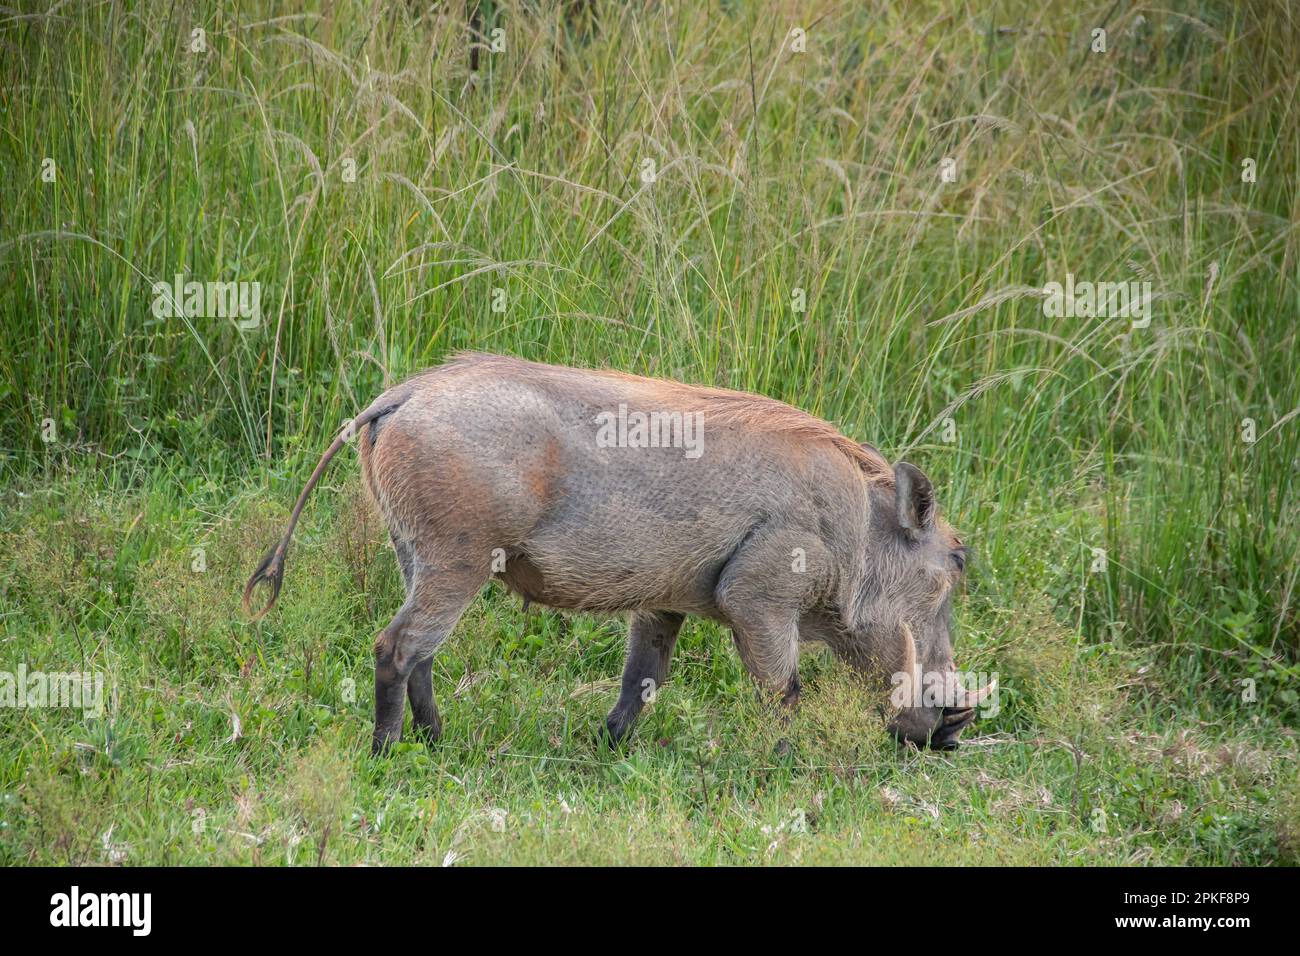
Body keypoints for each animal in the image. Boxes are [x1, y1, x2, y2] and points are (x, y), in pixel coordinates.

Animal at [244, 352, 994, 754]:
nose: (948, 735)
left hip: (414, 554)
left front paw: (606, 749)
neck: (854, 534)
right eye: (954, 564)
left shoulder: (665, 604)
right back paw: (387, 757)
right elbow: (782, 691)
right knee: (396, 648)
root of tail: (401, 393)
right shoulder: (759, 598)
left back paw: (438, 743)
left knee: (421, 653)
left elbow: (642, 681)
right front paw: (786, 760)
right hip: (456, 559)